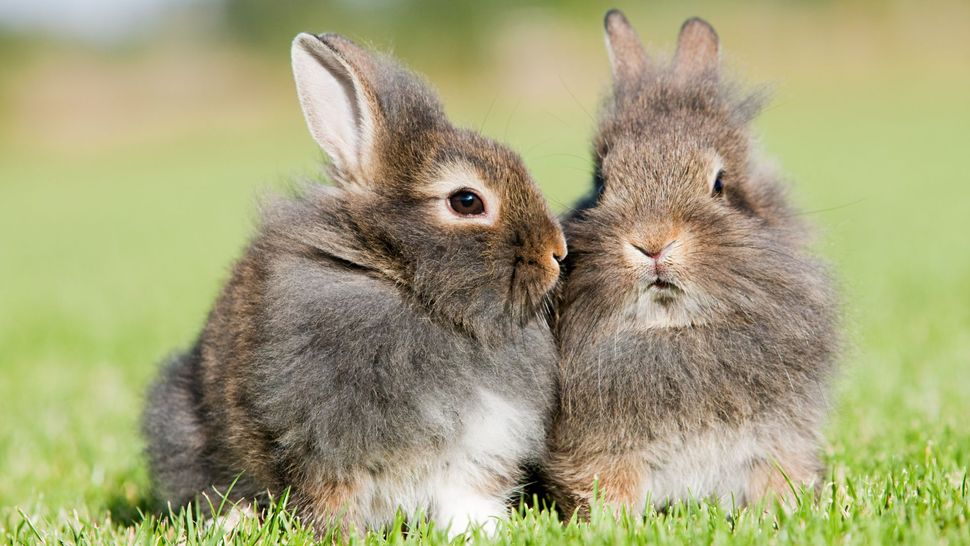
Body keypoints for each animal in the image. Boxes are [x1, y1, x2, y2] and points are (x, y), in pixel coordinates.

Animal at [142, 31, 567, 537]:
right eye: (467, 201)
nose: (557, 252)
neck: (407, 288)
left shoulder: (476, 453)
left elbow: (466, 500)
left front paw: (482, 532)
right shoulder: (322, 450)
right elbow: (332, 502)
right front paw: (341, 537)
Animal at [542, 11, 839, 516]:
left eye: (719, 184)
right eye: (601, 183)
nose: (653, 243)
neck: (673, 327)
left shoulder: (778, 444)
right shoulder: (600, 458)